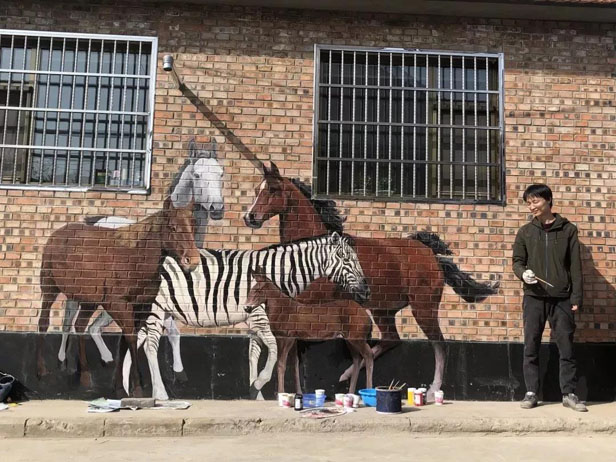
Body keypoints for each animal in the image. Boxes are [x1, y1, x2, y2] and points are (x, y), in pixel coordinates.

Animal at [56, 140, 225, 378]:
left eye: (221, 173)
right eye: (197, 174)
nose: (217, 209)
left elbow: (171, 333)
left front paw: (177, 373)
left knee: (93, 326)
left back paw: (104, 359)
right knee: (70, 319)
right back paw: (66, 362)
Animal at [122, 233, 368, 398]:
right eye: (347, 259)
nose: (367, 291)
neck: (275, 274)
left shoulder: (254, 320)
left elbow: (253, 355)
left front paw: (254, 393)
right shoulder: (260, 316)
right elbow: (272, 351)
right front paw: (259, 385)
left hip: (155, 310)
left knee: (137, 340)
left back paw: (129, 388)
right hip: (156, 307)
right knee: (150, 345)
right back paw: (160, 394)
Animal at [243, 163, 498, 400]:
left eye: (273, 189)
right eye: (256, 189)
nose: (250, 217)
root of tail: (430, 253)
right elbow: (297, 350)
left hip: (423, 307)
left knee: (439, 344)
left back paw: (432, 390)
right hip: (382, 310)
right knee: (390, 339)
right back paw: (347, 375)